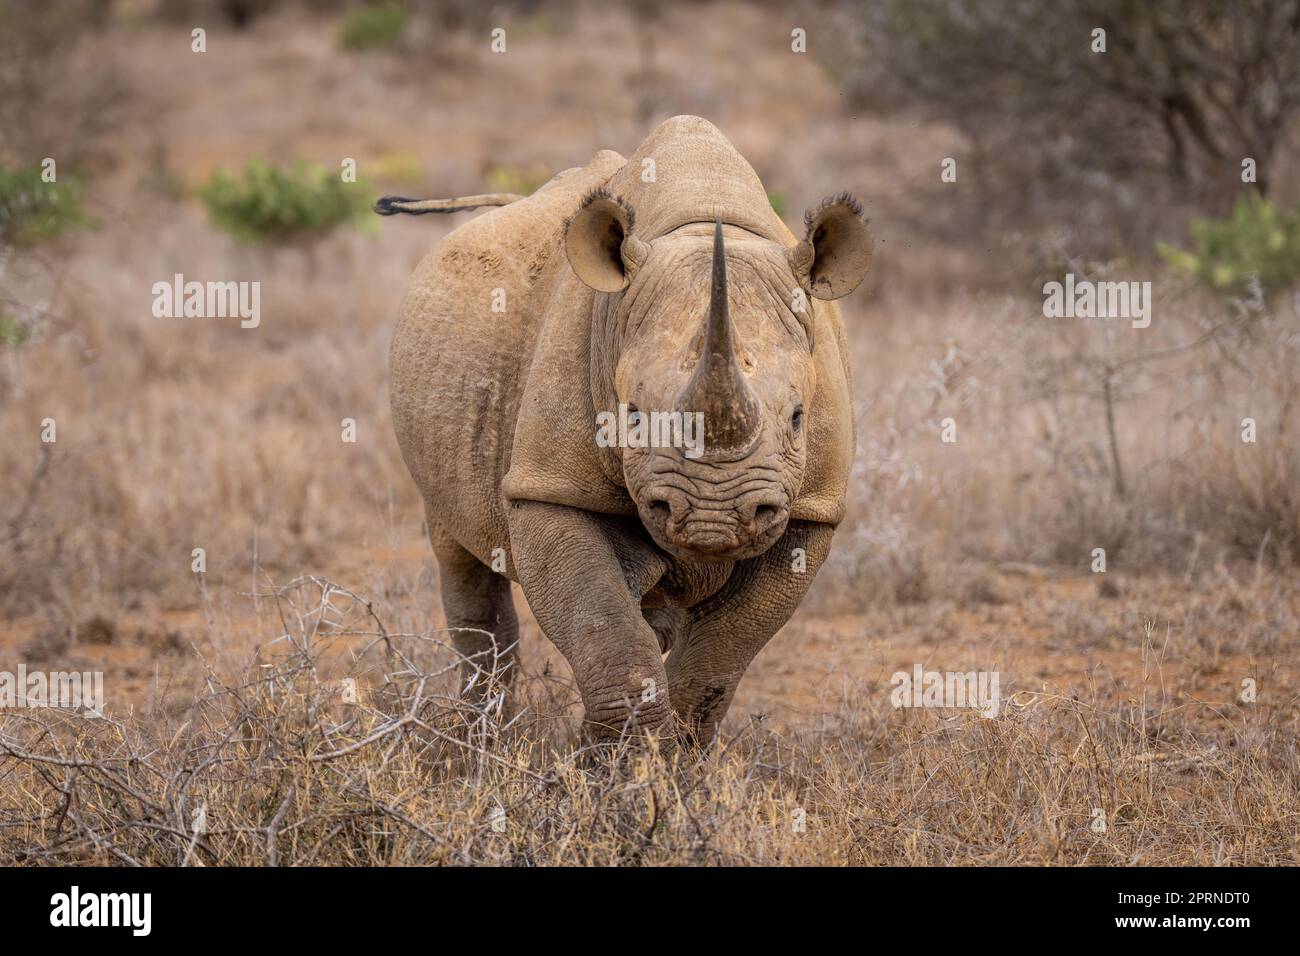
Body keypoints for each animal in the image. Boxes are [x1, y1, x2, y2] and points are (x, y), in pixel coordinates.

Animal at [379, 115, 870, 746]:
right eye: (631, 415)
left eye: (798, 418)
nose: (711, 520)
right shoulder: (550, 488)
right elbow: (607, 635)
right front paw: (623, 768)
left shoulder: (810, 508)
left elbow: (715, 664)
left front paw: (676, 763)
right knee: (461, 556)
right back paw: (477, 744)